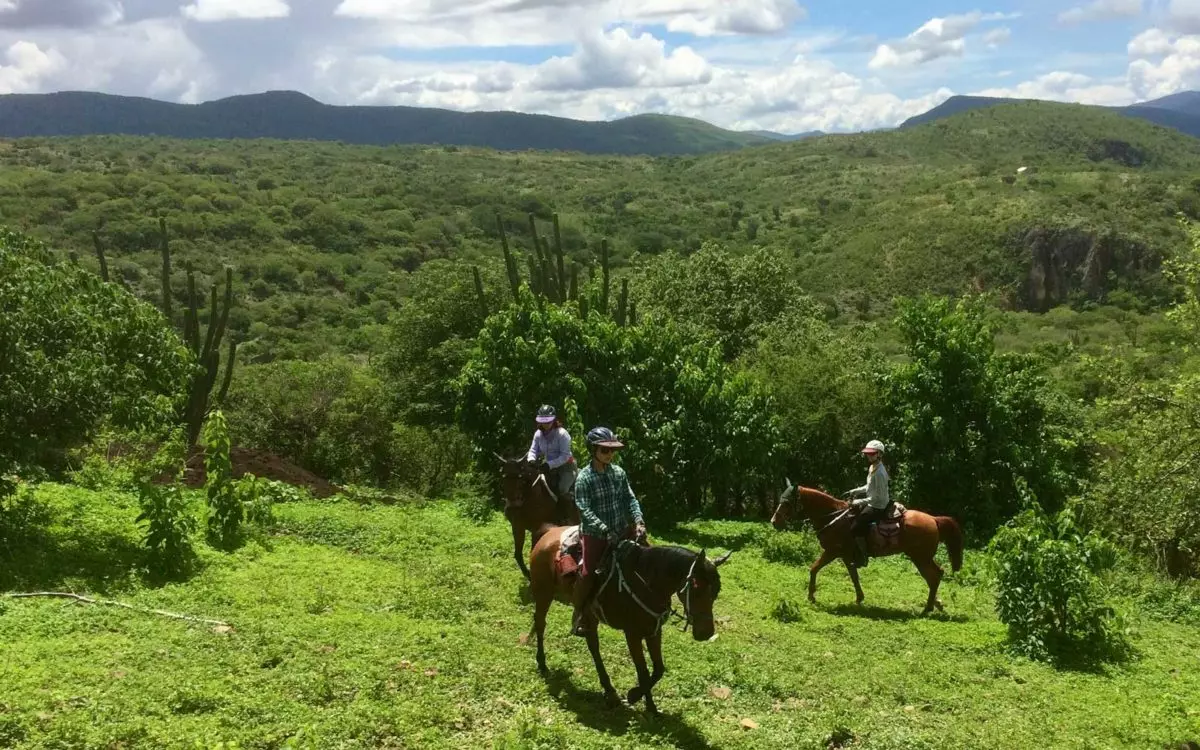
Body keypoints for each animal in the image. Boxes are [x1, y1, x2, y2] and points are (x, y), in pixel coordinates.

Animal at [528, 525, 729, 715]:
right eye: (696, 588)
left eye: (717, 590)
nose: (706, 633)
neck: (647, 581)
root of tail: (548, 534)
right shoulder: (632, 634)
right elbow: (643, 671)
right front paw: (635, 697)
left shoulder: (654, 631)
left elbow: (658, 669)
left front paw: (650, 707)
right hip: (544, 594)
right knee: (540, 624)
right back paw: (542, 663)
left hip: (590, 614)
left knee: (592, 644)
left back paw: (609, 689)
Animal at [768, 480, 964, 614]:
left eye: (787, 503)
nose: (774, 521)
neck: (834, 518)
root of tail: (934, 519)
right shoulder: (846, 555)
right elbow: (854, 576)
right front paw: (859, 598)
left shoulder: (832, 551)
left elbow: (814, 568)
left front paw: (811, 596)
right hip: (922, 557)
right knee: (936, 575)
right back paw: (935, 604)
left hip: (920, 557)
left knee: (934, 576)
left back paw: (928, 608)